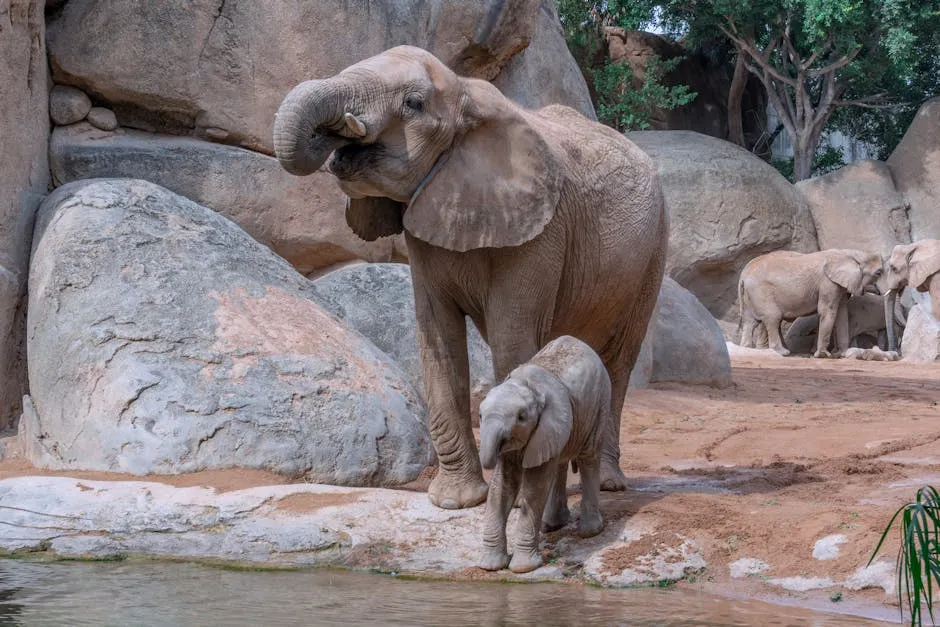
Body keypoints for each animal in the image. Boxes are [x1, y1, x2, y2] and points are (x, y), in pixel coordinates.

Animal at [272, 47, 668, 510]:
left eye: (414, 104)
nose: (335, 140)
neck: (466, 94)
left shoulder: (542, 232)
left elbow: (512, 336)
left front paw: (514, 497)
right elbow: (437, 337)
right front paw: (456, 502)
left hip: (653, 253)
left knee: (617, 361)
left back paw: (607, 483)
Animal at [478, 336, 608, 576]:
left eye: (521, 417)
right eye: (480, 415)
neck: (526, 385)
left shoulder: (546, 425)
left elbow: (534, 487)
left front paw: (523, 568)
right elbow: (502, 485)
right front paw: (490, 566)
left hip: (600, 402)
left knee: (589, 458)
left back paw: (589, 531)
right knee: (560, 462)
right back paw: (551, 526)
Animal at [740, 250, 884, 358]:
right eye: (878, 273)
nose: (878, 291)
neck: (852, 253)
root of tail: (743, 275)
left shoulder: (839, 285)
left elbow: (841, 313)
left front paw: (843, 354)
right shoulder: (828, 283)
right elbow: (828, 311)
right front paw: (823, 355)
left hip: (750, 295)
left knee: (750, 322)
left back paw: (747, 349)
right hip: (761, 292)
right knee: (772, 318)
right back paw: (783, 352)